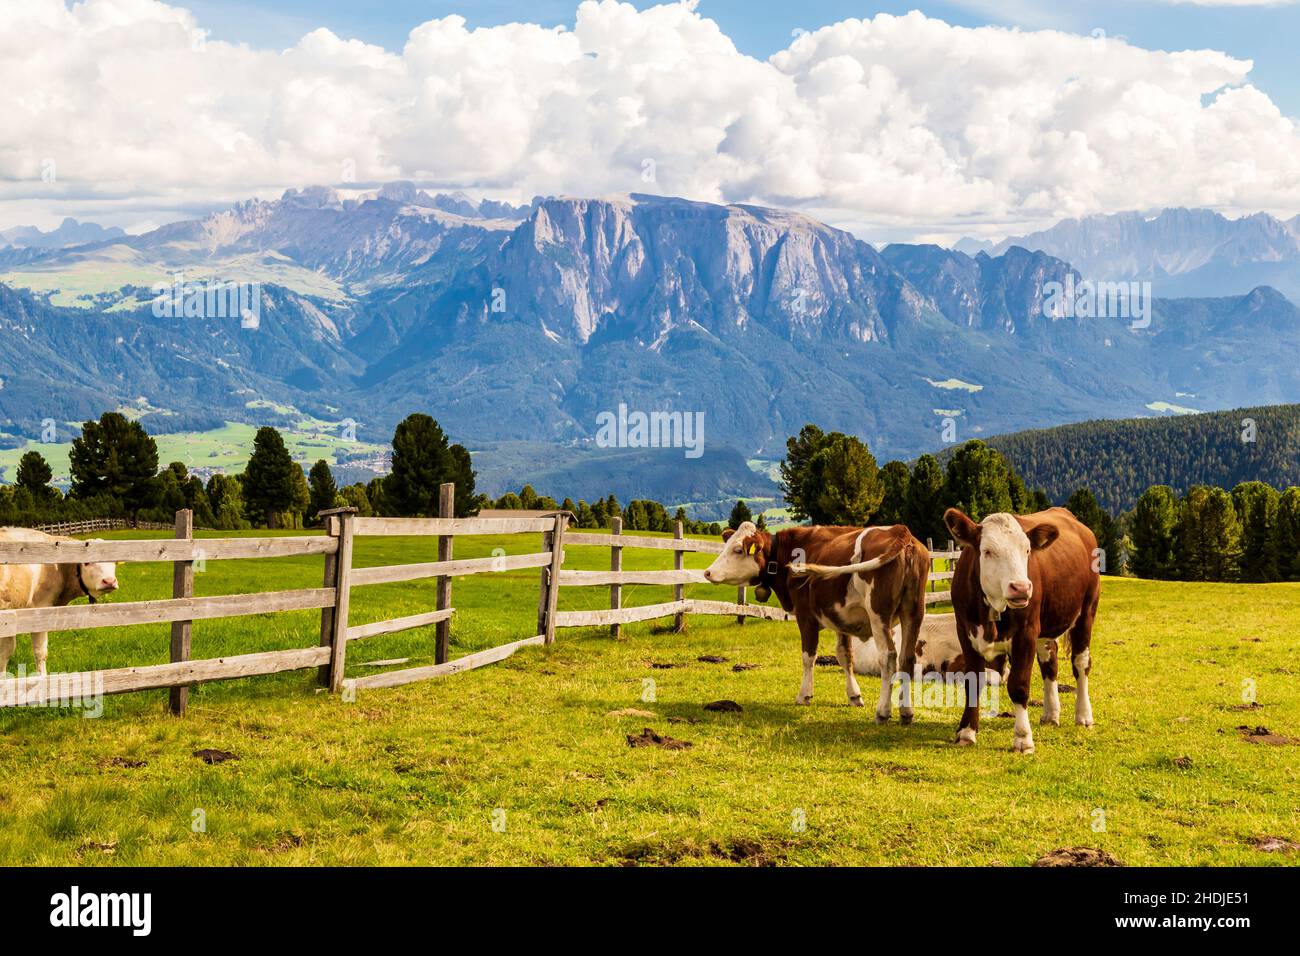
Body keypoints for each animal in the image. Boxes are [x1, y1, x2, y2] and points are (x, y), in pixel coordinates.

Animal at [0, 528, 120, 676]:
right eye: (86, 562)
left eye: (113, 562)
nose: (109, 581)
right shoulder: (38, 609)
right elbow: (39, 652)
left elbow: (5, 652)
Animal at [702, 521, 929, 722]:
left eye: (738, 549)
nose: (708, 572)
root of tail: (900, 531)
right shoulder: (840, 618)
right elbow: (845, 655)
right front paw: (854, 695)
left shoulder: (806, 616)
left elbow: (808, 656)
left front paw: (805, 695)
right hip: (913, 612)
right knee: (907, 658)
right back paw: (906, 712)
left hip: (878, 614)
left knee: (889, 657)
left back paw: (883, 711)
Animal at [943, 507, 1100, 753]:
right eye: (987, 551)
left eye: (1027, 550)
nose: (1021, 587)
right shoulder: (964, 631)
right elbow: (972, 681)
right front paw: (967, 732)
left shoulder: (1026, 633)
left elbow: (1018, 686)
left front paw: (1023, 738)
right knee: (1049, 662)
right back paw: (1051, 714)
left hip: (1086, 611)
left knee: (1081, 663)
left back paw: (1083, 715)